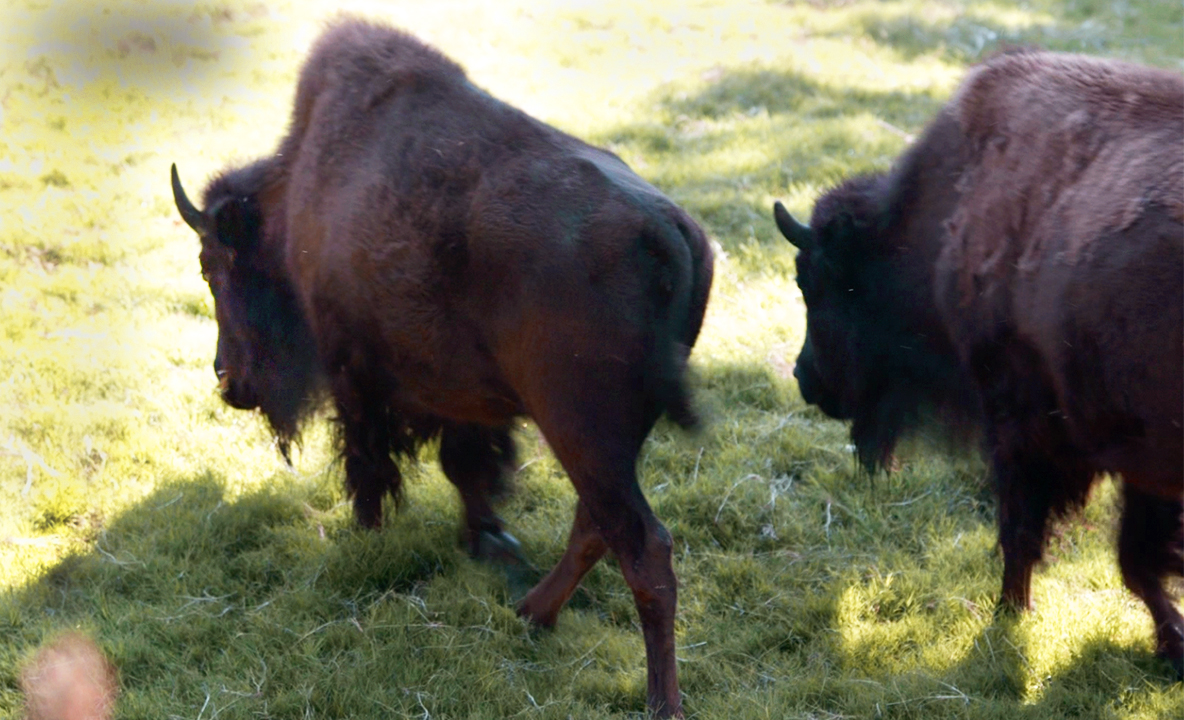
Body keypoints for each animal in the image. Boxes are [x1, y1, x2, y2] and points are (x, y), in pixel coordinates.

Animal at [171, 18, 712, 717]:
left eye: (211, 267)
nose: (226, 379)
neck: (297, 198)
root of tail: (665, 228)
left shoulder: (356, 376)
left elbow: (369, 464)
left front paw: (367, 534)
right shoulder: (465, 402)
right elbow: (467, 467)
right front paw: (485, 539)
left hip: (581, 433)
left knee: (643, 547)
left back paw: (658, 698)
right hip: (608, 443)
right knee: (595, 525)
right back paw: (530, 612)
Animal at [776, 50, 1183, 675]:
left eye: (811, 282)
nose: (805, 378)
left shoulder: (1022, 425)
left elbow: (1030, 532)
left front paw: (1009, 611)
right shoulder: (1143, 456)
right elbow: (1138, 556)